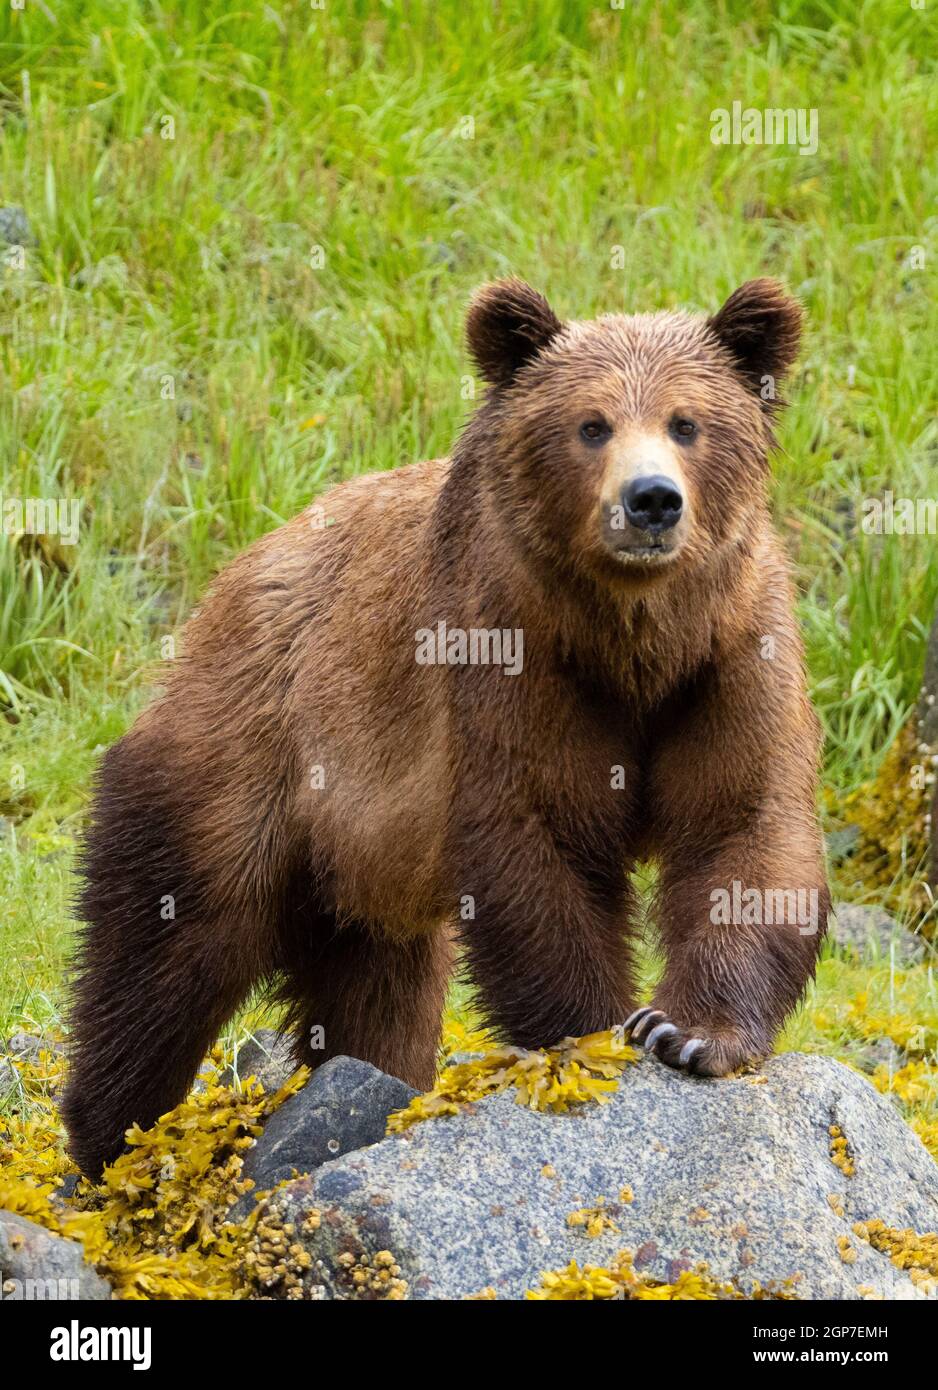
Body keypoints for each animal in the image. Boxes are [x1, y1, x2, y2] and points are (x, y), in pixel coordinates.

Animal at [62, 277, 831, 1177]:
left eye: (687, 423)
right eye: (592, 424)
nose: (650, 502)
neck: (633, 641)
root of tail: (236, 576)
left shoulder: (730, 661)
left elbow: (742, 827)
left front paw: (687, 1032)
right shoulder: (507, 658)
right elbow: (537, 838)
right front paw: (593, 1030)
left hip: (362, 865)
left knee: (378, 994)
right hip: (250, 751)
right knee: (168, 950)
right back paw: (111, 1137)